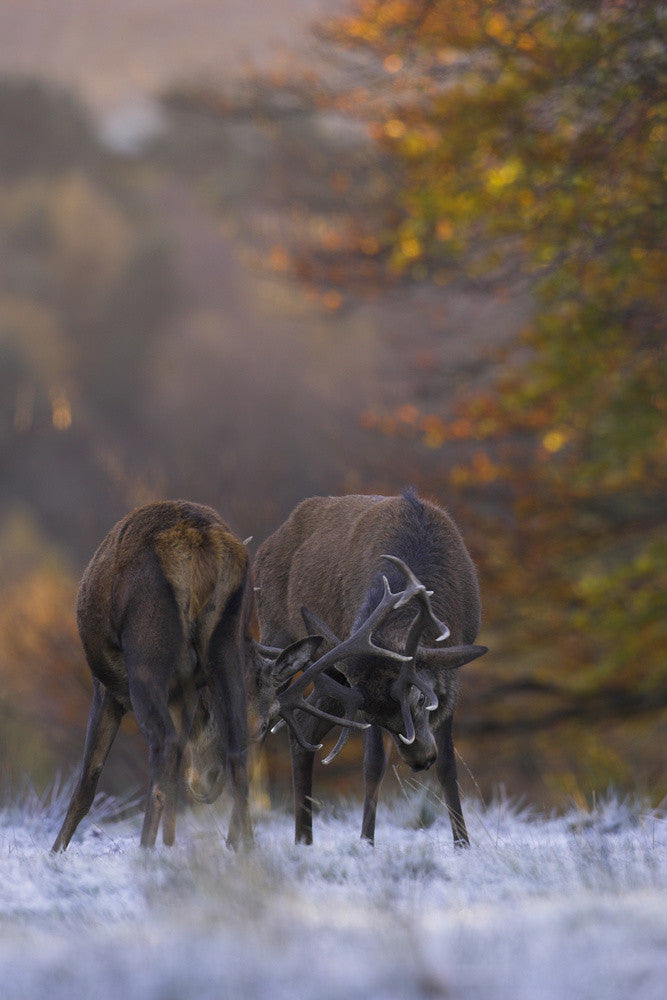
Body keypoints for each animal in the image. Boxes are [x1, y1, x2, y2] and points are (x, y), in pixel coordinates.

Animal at [52, 500, 347, 851]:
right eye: (267, 723)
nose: (206, 785)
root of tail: (201, 541)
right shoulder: (188, 690)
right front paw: (171, 844)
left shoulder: (106, 687)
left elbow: (87, 782)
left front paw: (55, 852)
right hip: (224, 638)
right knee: (230, 753)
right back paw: (246, 848)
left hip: (147, 649)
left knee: (162, 744)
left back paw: (145, 850)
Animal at [253, 489, 487, 848]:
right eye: (373, 718)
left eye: (421, 699)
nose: (420, 759)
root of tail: (263, 549)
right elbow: (373, 764)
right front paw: (366, 842)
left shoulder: (451, 668)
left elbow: (449, 764)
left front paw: (463, 843)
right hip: (276, 631)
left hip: (328, 672)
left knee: (301, 730)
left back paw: (303, 840)